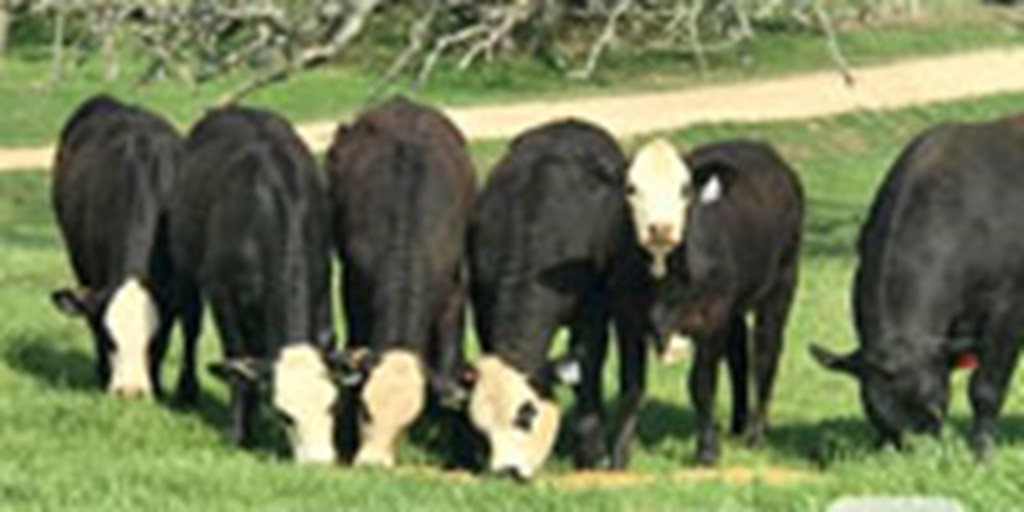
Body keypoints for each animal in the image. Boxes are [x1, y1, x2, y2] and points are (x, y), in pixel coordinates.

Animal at [169, 106, 337, 464]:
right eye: (287, 415)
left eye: (331, 406)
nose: (319, 462)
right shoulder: (222, 293)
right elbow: (237, 359)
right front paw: (239, 433)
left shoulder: (322, 285)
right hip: (185, 270)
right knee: (190, 327)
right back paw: (186, 392)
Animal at [466, 119, 652, 480]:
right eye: (480, 425)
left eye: (526, 417)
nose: (505, 470)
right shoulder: (482, 302)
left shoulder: (593, 313)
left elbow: (589, 370)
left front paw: (592, 454)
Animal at [625, 138, 803, 465]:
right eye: (631, 187)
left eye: (685, 189)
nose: (661, 228)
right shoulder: (627, 319)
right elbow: (631, 387)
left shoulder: (710, 318)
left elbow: (702, 384)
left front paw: (707, 451)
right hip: (734, 305)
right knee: (739, 351)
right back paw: (737, 425)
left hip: (781, 284)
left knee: (766, 351)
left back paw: (756, 434)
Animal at [812, 116, 1024, 460]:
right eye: (874, 410)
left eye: (934, 403)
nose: (917, 457)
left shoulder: (1007, 311)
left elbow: (985, 388)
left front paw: (982, 453)